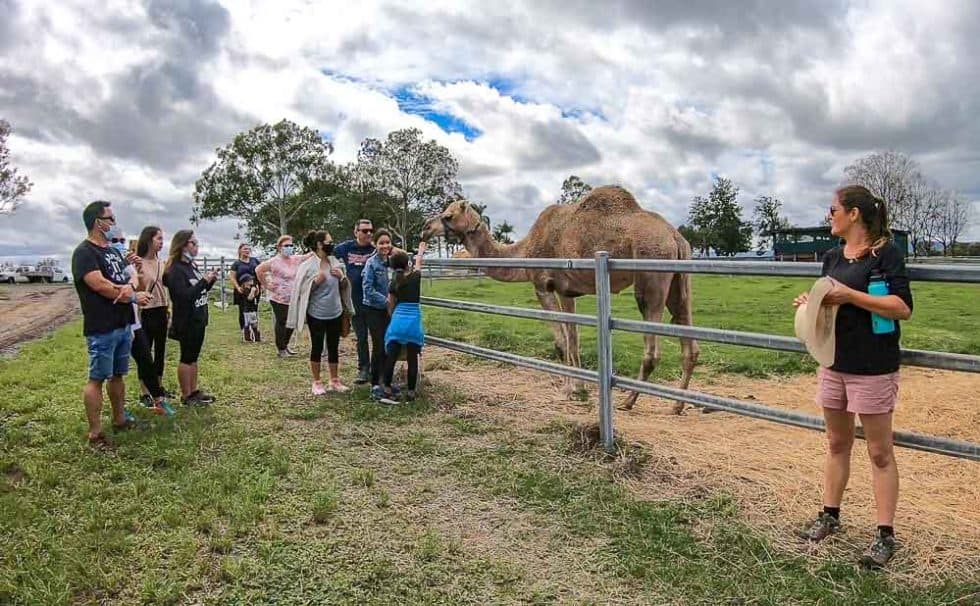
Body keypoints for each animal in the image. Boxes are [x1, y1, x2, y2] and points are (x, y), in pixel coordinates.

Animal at [421, 185, 699, 412]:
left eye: (448, 215)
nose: (425, 228)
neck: (525, 250)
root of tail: (675, 236)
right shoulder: (567, 291)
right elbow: (573, 341)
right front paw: (578, 386)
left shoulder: (543, 286)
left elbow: (560, 342)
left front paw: (570, 388)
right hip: (680, 277)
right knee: (688, 336)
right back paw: (677, 405)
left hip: (651, 273)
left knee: (652, 348)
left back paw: (629, 401)